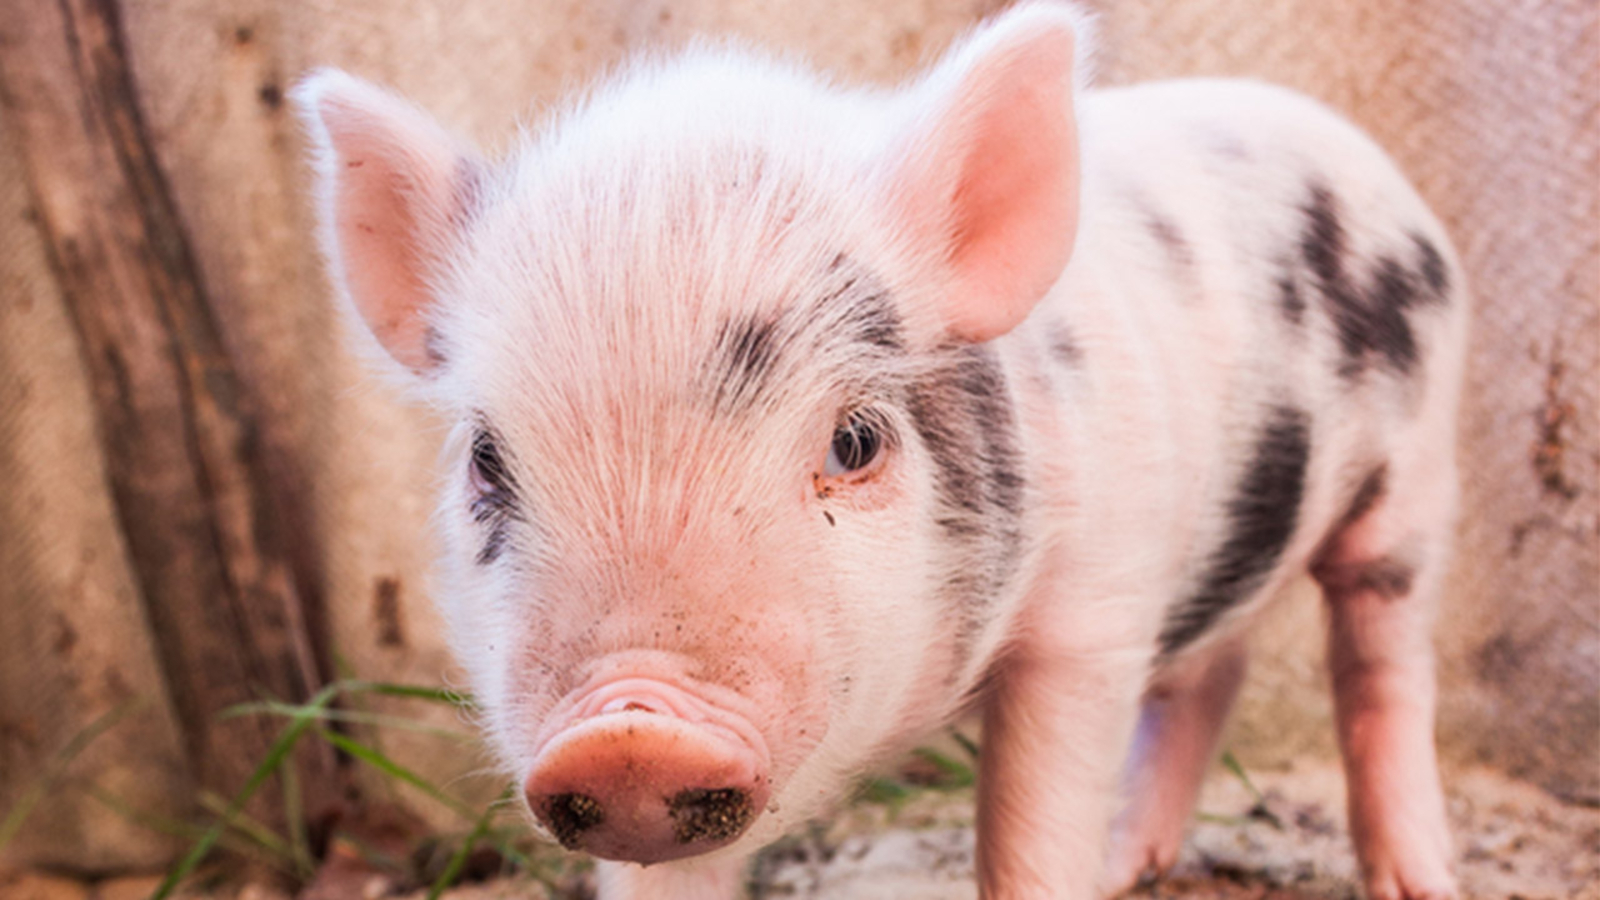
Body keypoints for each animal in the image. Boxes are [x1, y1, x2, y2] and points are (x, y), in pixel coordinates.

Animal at [292, 2, 1466, 898]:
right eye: (487, 460)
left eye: (855, 441)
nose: (630, 732)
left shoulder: (1091, 619)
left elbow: (1031, 830)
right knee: (1213, 673)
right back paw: (1133, 864)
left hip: (1410, 481)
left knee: (1379, 664)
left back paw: (1413, 883)